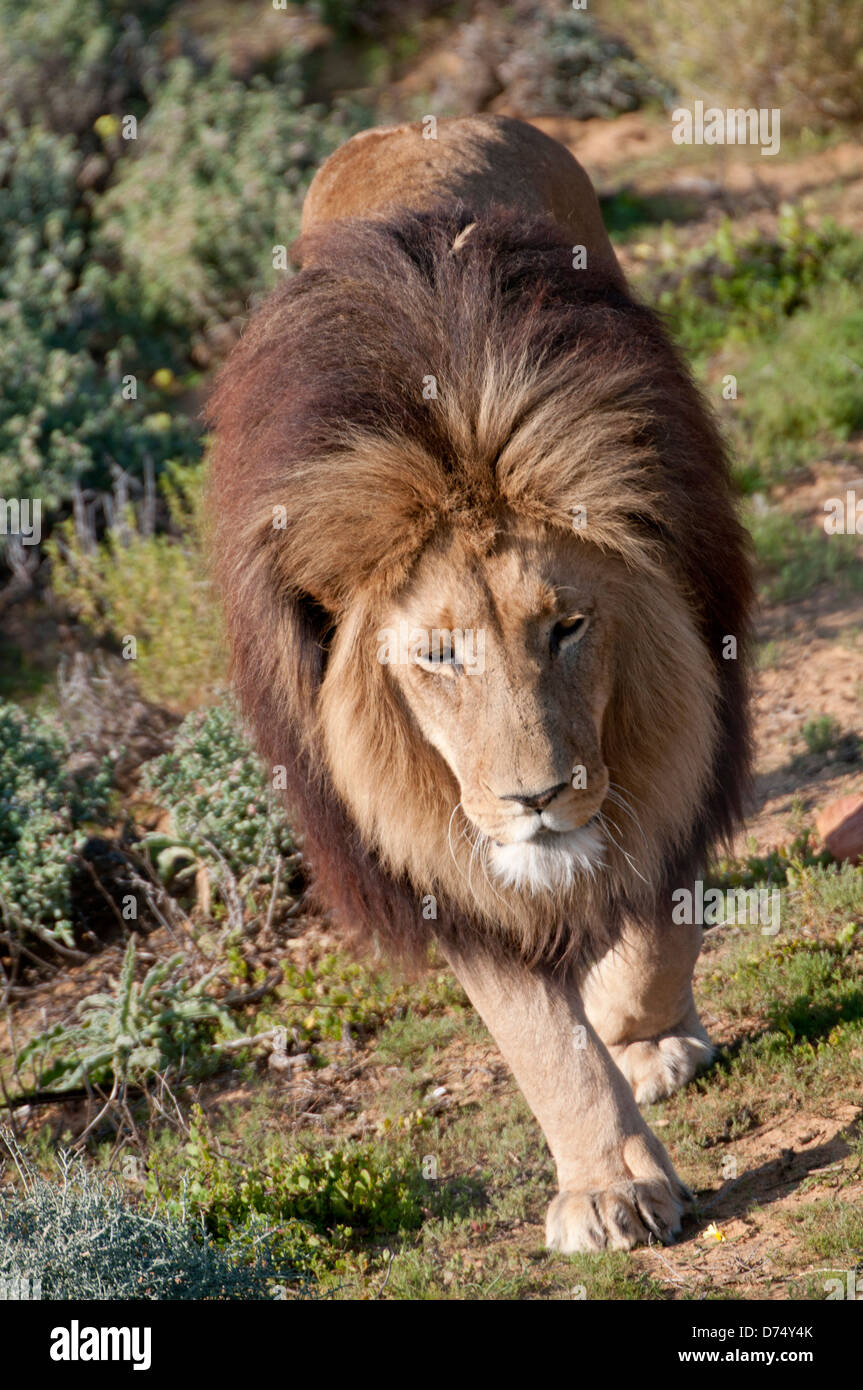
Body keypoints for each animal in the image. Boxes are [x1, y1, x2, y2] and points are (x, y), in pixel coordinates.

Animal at [208, 115, 753, 1254]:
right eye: (440, 657)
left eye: (567, 626)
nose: (535, 797)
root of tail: (423, 121)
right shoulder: (432, 844)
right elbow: (539, 1033)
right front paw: (609, 1187)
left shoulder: (693, 734)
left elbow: (655, 932)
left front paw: (636, 1031)